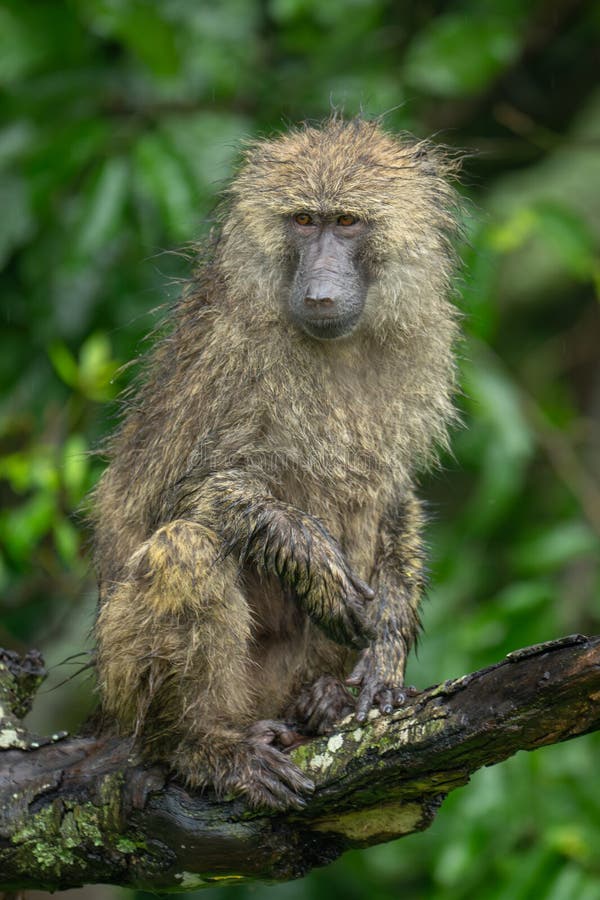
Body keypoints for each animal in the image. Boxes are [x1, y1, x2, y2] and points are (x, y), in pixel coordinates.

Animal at [93, 117, 461, 811]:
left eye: (346, 221)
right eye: (303, 221)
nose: (319, 289)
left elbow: (395, 496)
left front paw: (388, 639)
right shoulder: (229, 353)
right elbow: (170, 500)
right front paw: (307, 555)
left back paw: (321, 702)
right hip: (143, 687)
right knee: (183, 546)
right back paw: (197, 747)